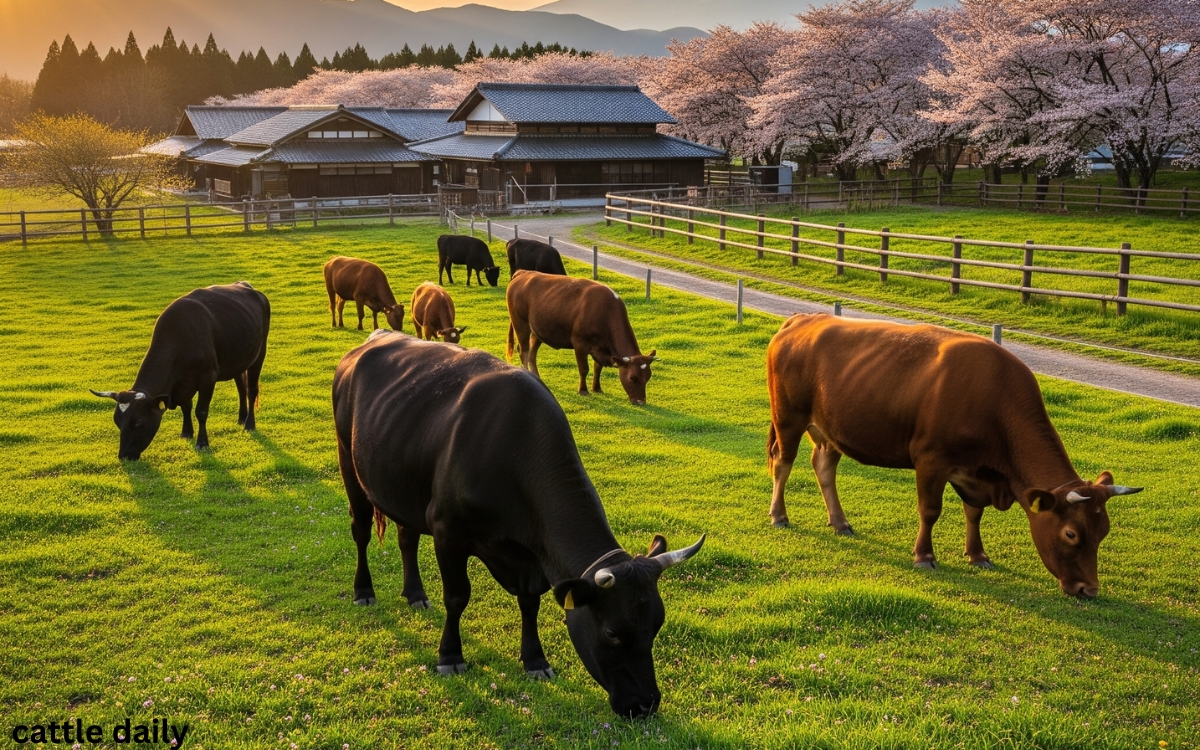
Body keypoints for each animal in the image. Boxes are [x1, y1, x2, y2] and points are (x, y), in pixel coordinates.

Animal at [90, 281, 270, 461]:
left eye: (138, 422)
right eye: (117, 421)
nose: (124, 456)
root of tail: (246, 286)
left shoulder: (208, 378)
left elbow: (201, 411)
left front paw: (202, 442)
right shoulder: (183, 382)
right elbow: (186, 407)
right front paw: (186, 432)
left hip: (259, 354)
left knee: (251, 390)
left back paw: (249, 424)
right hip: (239, 359)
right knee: (241, 387)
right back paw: (241, 417)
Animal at [333, 330, 703, 717]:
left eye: (656, 626)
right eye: (612, 633)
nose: (645, 704)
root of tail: (373, 339)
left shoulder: (530, 558)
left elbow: (530, 604)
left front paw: (535, 660)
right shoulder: (447, 532)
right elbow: (457, 597)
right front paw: (450, 656)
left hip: (404, 486)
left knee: (407, 536)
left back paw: (416, 594)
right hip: (349, 464)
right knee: (360, 532)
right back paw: (364, 591)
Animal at [506, 271, 657, 405]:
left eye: (648, 377)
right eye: (632, 378)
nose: (641, 402)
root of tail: (523, 273)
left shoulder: (600, 348)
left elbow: (597, 368)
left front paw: (597, 388)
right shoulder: (580, 344)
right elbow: (584, 369)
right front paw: (583, 390)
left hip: (538, 330)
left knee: (532, 352)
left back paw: (537, 377)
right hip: (520, 322)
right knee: (524, 351)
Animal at [765, 313, 1142, 598]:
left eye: (1104, 531)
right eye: (1071, 534)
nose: (1088, 590)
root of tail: (803, 318)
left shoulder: (975, 471)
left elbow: (974, 513)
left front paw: (977, 555)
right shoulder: (931, 460)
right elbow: (930, 510)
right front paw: (924, 555)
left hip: (829, 430)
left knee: (823, 467)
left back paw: (840, 522)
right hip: (788, 418)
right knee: (783, 463)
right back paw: (779, 515)